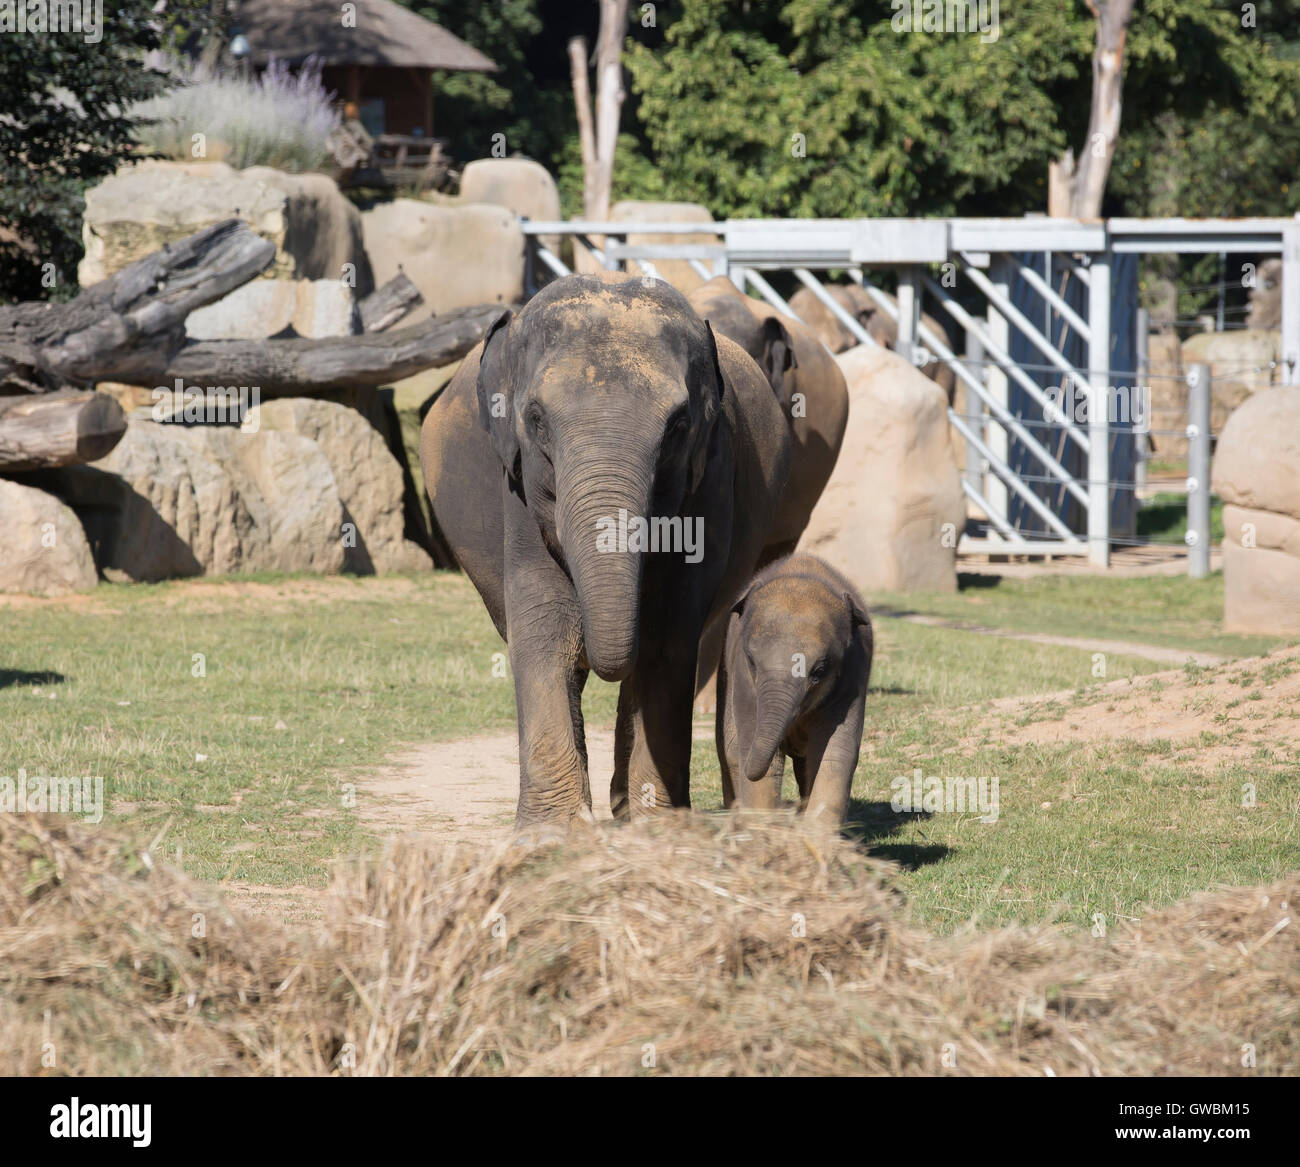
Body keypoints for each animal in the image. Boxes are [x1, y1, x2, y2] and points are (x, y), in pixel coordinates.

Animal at [420, 272, 792, 830]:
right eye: (535, 419)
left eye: (678, 425)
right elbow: (545, 621)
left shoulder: (711, 477)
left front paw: (655, 826)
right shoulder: (518, 484)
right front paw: (551, 831)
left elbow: (667, 630)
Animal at [717, 553, 872, 827]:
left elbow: (836, 750)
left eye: (819, 670)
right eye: (752, 661)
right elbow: (752, 744)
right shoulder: (743, 679)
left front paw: (815, 834)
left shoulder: (853, 675)